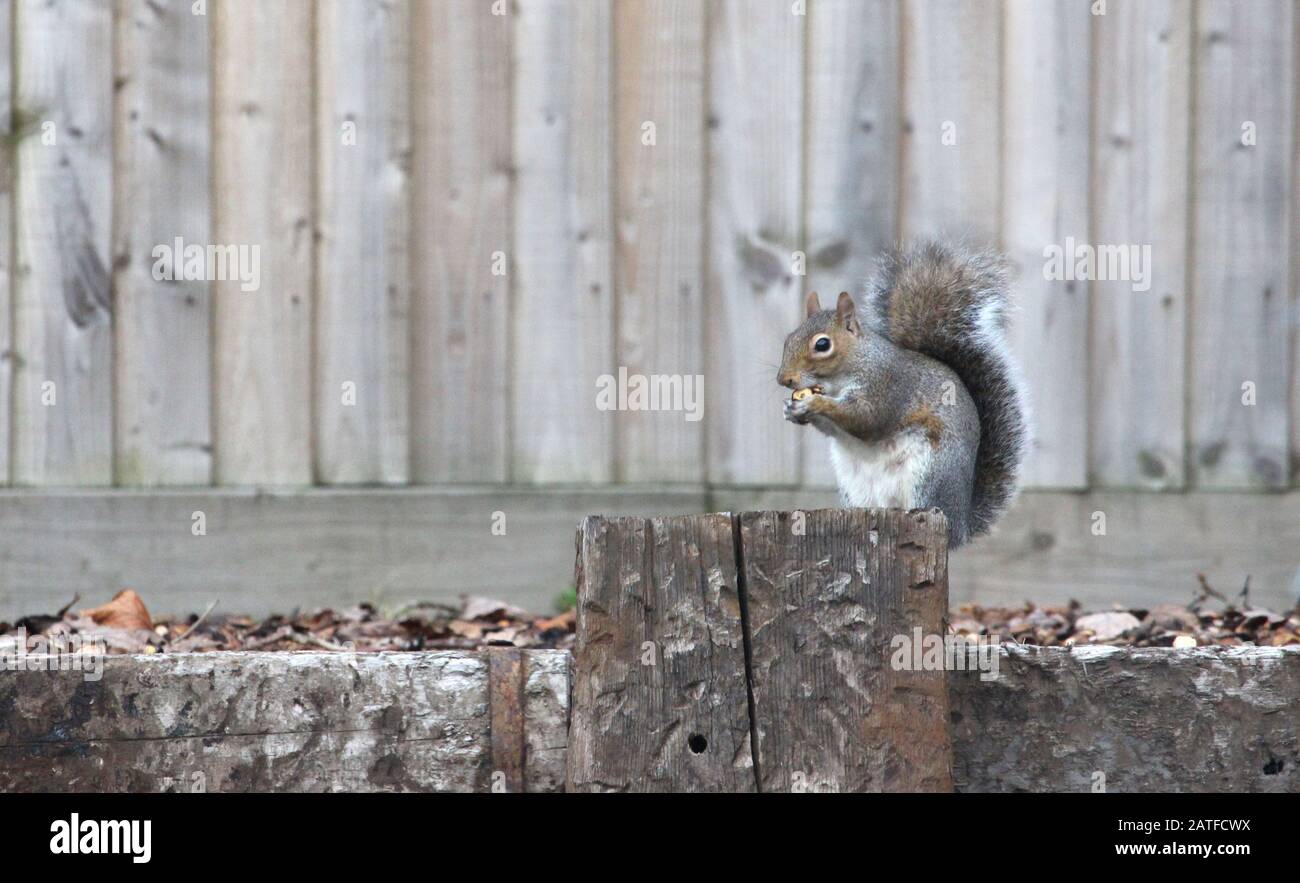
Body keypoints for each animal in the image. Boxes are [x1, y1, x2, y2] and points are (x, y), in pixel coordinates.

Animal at [778, 240, 1029, 548]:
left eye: (822, 345)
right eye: (789, 339)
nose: (783, 379)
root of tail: (961, 526)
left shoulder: (887, 386)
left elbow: (866, 419)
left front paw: (815, 403)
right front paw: (793, 411)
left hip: (929, 474)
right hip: (855, 489)